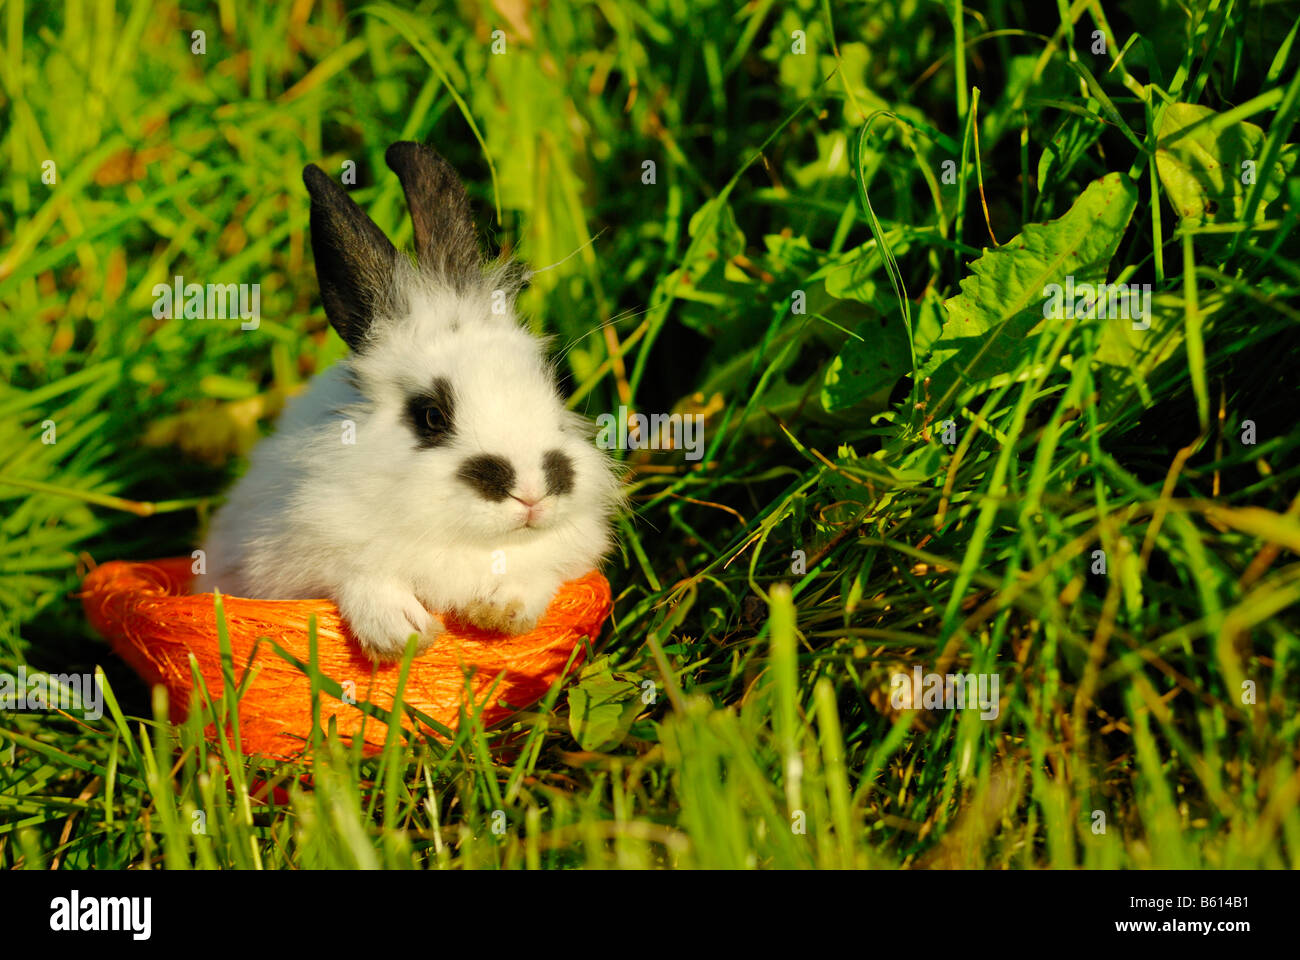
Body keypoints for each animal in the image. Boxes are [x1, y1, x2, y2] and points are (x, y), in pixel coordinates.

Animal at [194, 141, 622, 662]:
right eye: (431, 415)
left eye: (553, 391)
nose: (532, 492)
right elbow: (360, 576)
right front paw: (403, 636)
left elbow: (538, 574)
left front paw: (501, 613)